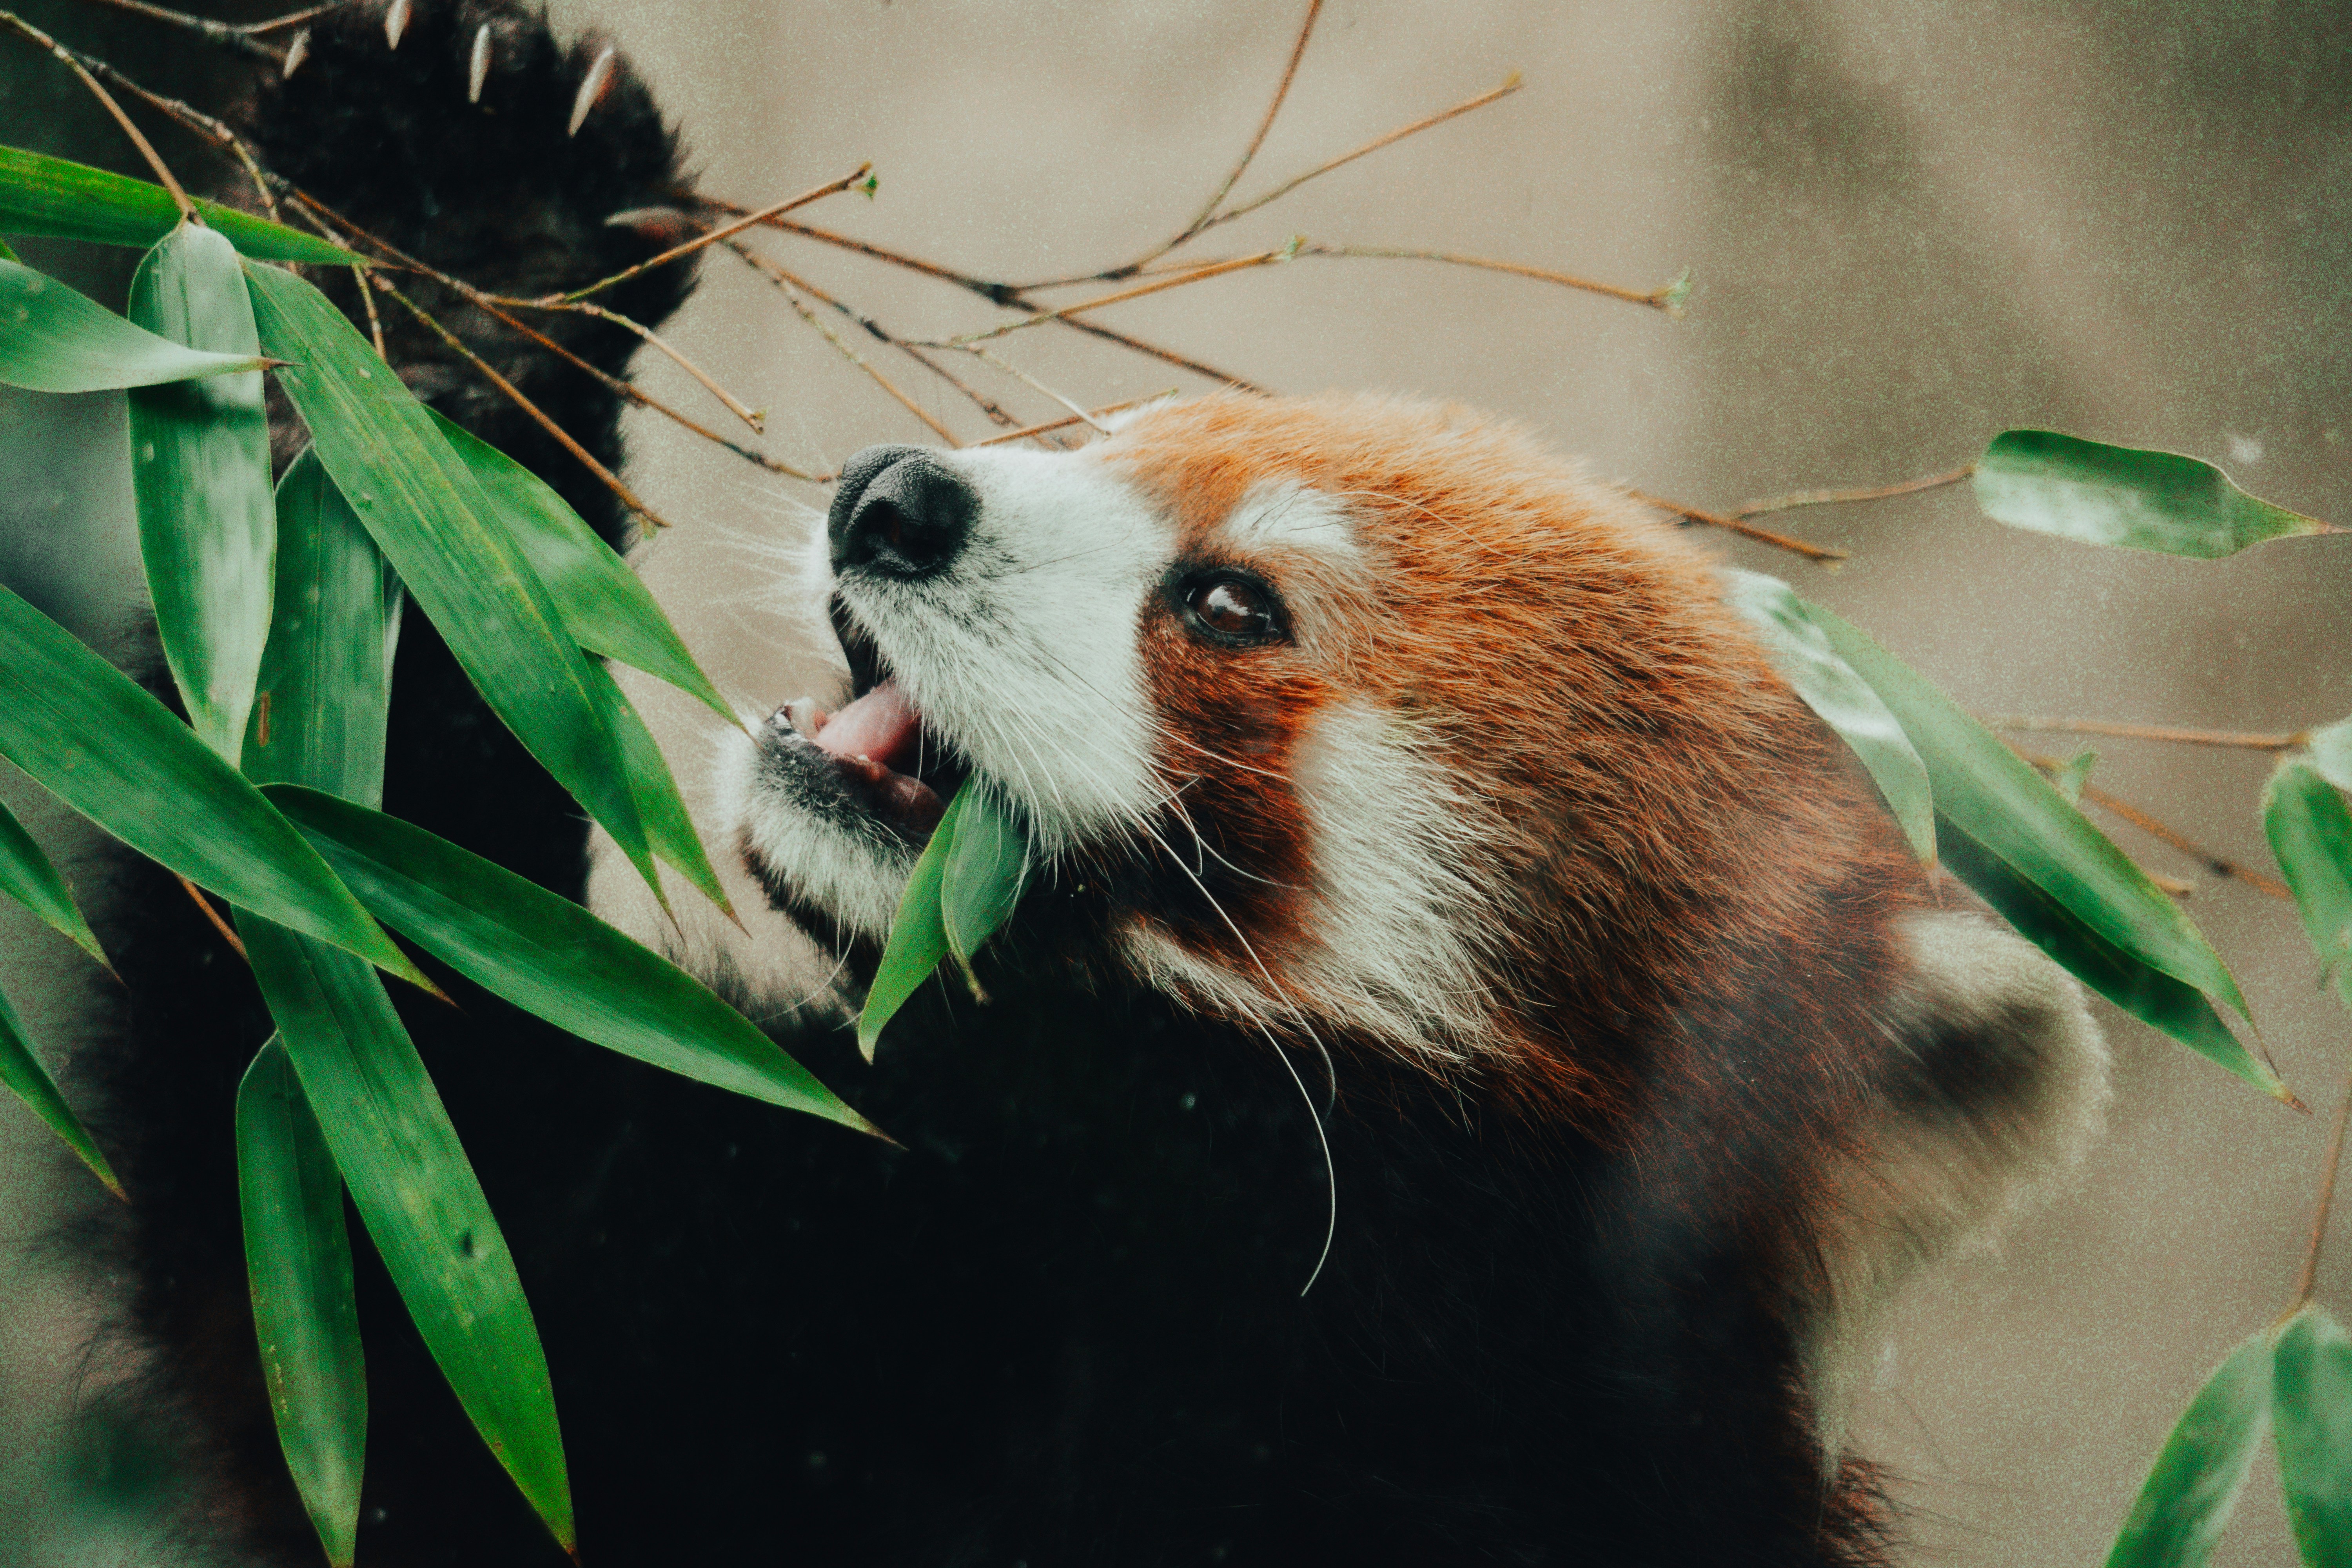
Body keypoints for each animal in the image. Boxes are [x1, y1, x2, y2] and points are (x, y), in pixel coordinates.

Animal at [24, 3, 2108, 1565]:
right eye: (1097, 426)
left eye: (1230, 600)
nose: (890, 494)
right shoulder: (781, 1303)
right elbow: (387, 1131)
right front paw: (460, 264)